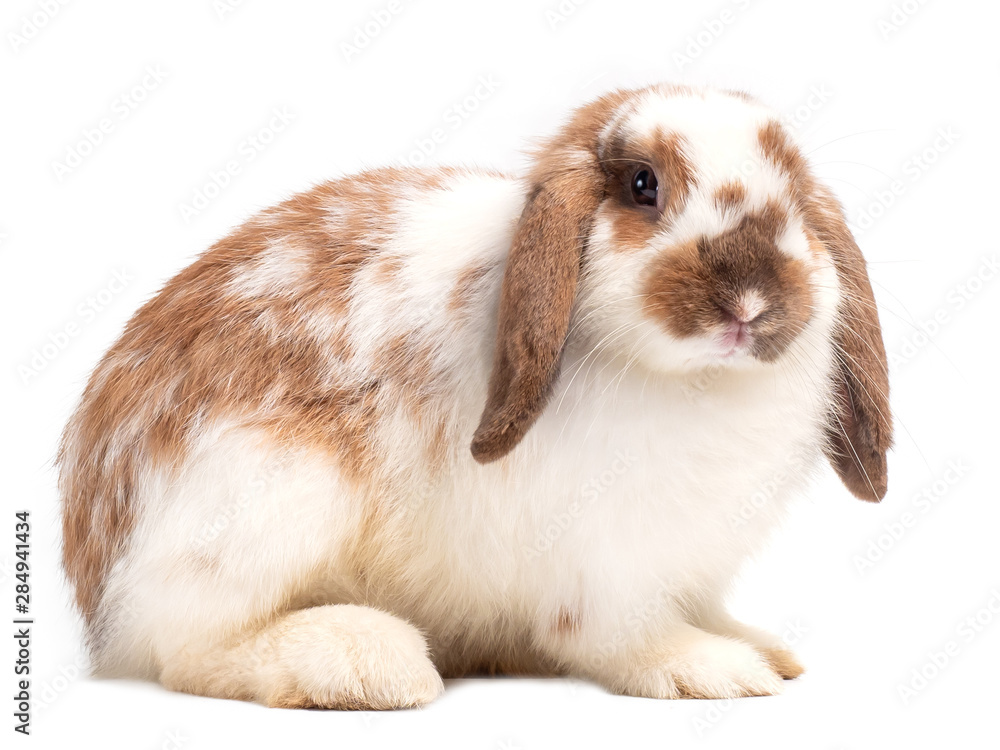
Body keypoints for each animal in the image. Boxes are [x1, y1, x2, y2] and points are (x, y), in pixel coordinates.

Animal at [59, 83, 892, 708]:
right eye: (642, 186)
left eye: (794, 194)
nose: (750, 299)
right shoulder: (600, 559)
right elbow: (617, 631)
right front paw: (709, 668)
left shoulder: (695, 556)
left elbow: (703, 603)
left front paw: (759, 647)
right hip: (269, 493)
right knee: (187, 646)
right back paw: (369, 663)